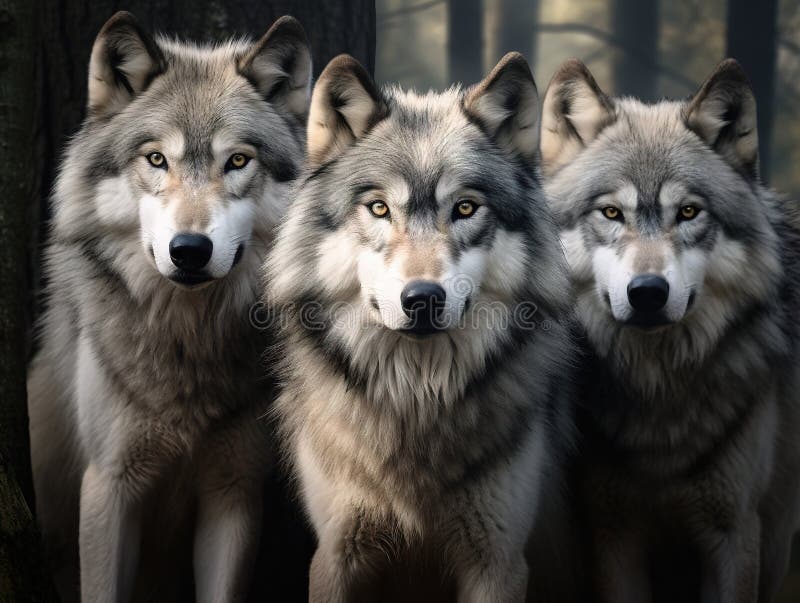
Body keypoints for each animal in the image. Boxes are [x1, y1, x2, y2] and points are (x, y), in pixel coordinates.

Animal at [27, 12, 311, 602]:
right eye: (157, 159)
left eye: (238, 161)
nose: (190, 250)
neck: (188, 339)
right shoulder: (109, 485)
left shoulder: (234, 492)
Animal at [264, 51, 576, 602]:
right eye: (379, 208)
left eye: (466, 207)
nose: (423, 298)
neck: (415, 400)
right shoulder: (335, 555)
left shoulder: (498, 562)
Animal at [541, 58, 800, 602]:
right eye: (611, 212)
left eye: (688, 212)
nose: (647, 292)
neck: (658, 394)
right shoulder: (613, 534)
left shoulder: (734, 533)